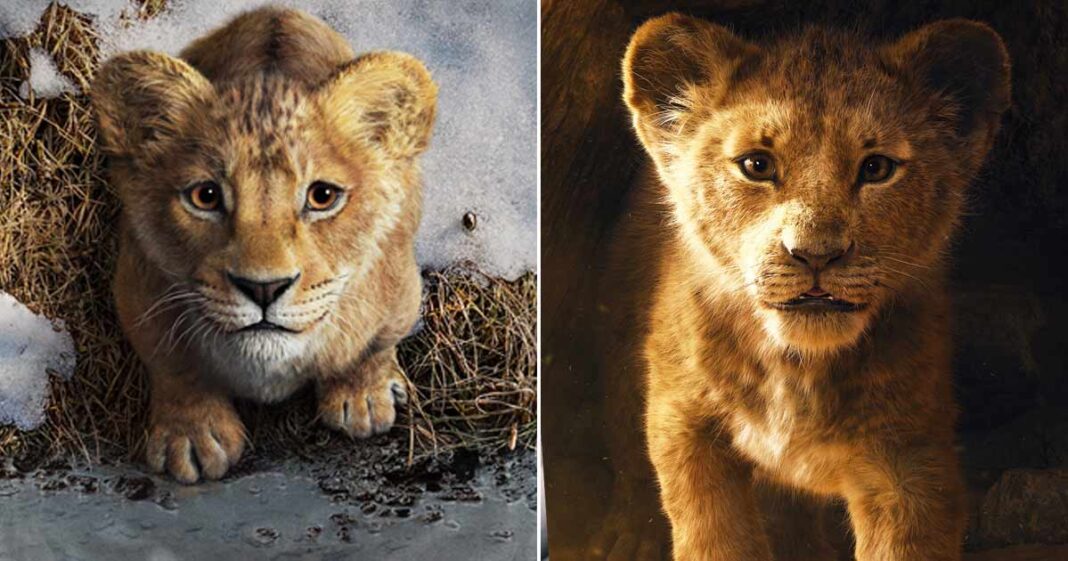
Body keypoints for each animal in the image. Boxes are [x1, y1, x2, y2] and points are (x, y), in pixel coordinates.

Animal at [91, 7, 437, 483]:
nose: (263, 288)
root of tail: (276, 10)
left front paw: (363, 397)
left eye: (322, 196)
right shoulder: (138, 289)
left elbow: (373, 346)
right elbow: (174, 365)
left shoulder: (400, 289)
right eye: (205, 196)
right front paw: (192, 435)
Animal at [589, 14, 1011, 561]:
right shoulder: (684, 423)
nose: (815, 254)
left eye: (876, 168)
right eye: (757, 165)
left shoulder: (911, 459)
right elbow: (713, 535)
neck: (797, 369)